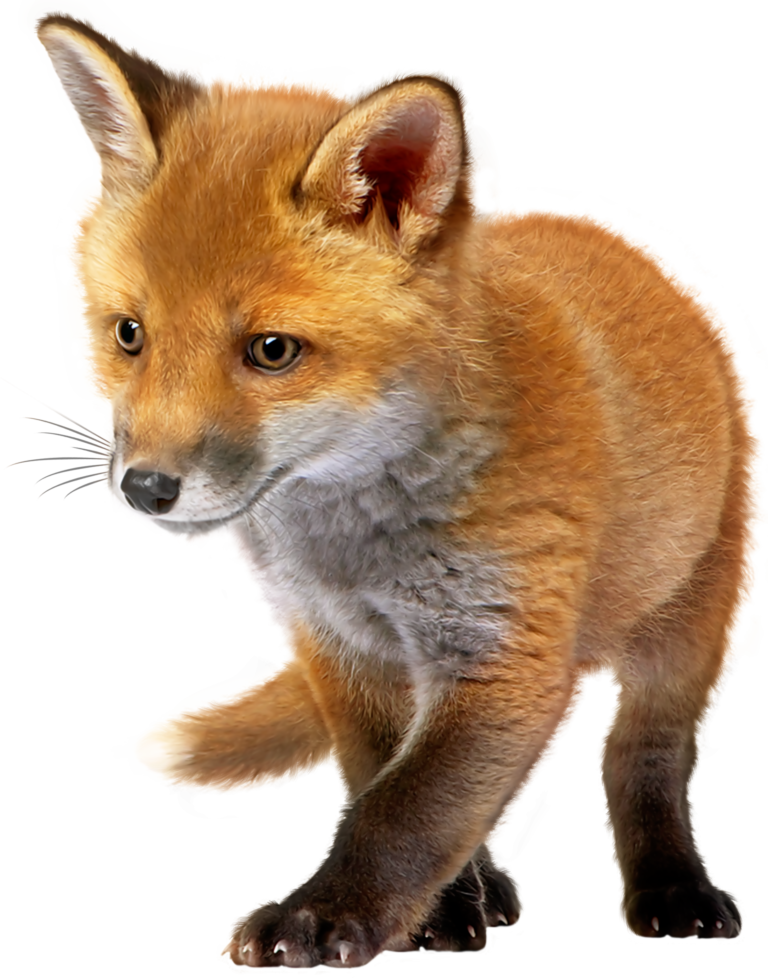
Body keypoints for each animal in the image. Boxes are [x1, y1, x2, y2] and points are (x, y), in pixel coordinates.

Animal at [11, 0, 763, 968]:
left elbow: (402, 812)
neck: (357, 546)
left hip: (692, 613)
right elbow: (386, 781)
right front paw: (442, 913)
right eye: (129, 335)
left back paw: (674, 890)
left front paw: (321, 919)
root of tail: (633, 245)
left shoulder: (502, 650)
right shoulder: (341, 643)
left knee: (642, 758)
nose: (146, 487)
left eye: (272, 351)